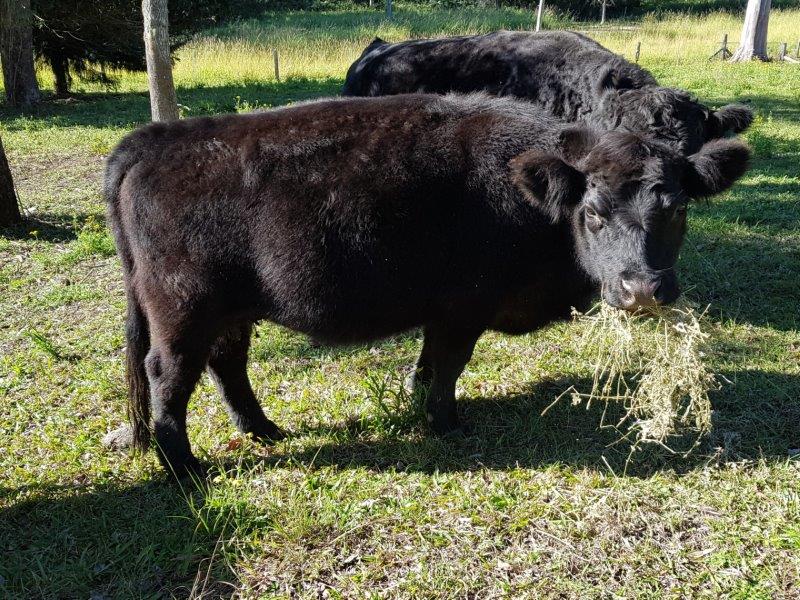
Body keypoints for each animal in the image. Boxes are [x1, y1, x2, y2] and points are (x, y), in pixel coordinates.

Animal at [105, 93, 749, 479]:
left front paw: (419, 403)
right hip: (183, 309)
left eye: (679, 208)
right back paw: (185, 468)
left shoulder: (442, 312)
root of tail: (154, 138)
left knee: (227, 364)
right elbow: (448, 365)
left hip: (231, 310)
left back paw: (263, 430)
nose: (642, 289)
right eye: (591, 213)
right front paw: (446, 422)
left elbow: (426, 363)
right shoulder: (462, 309)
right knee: (169, 375)